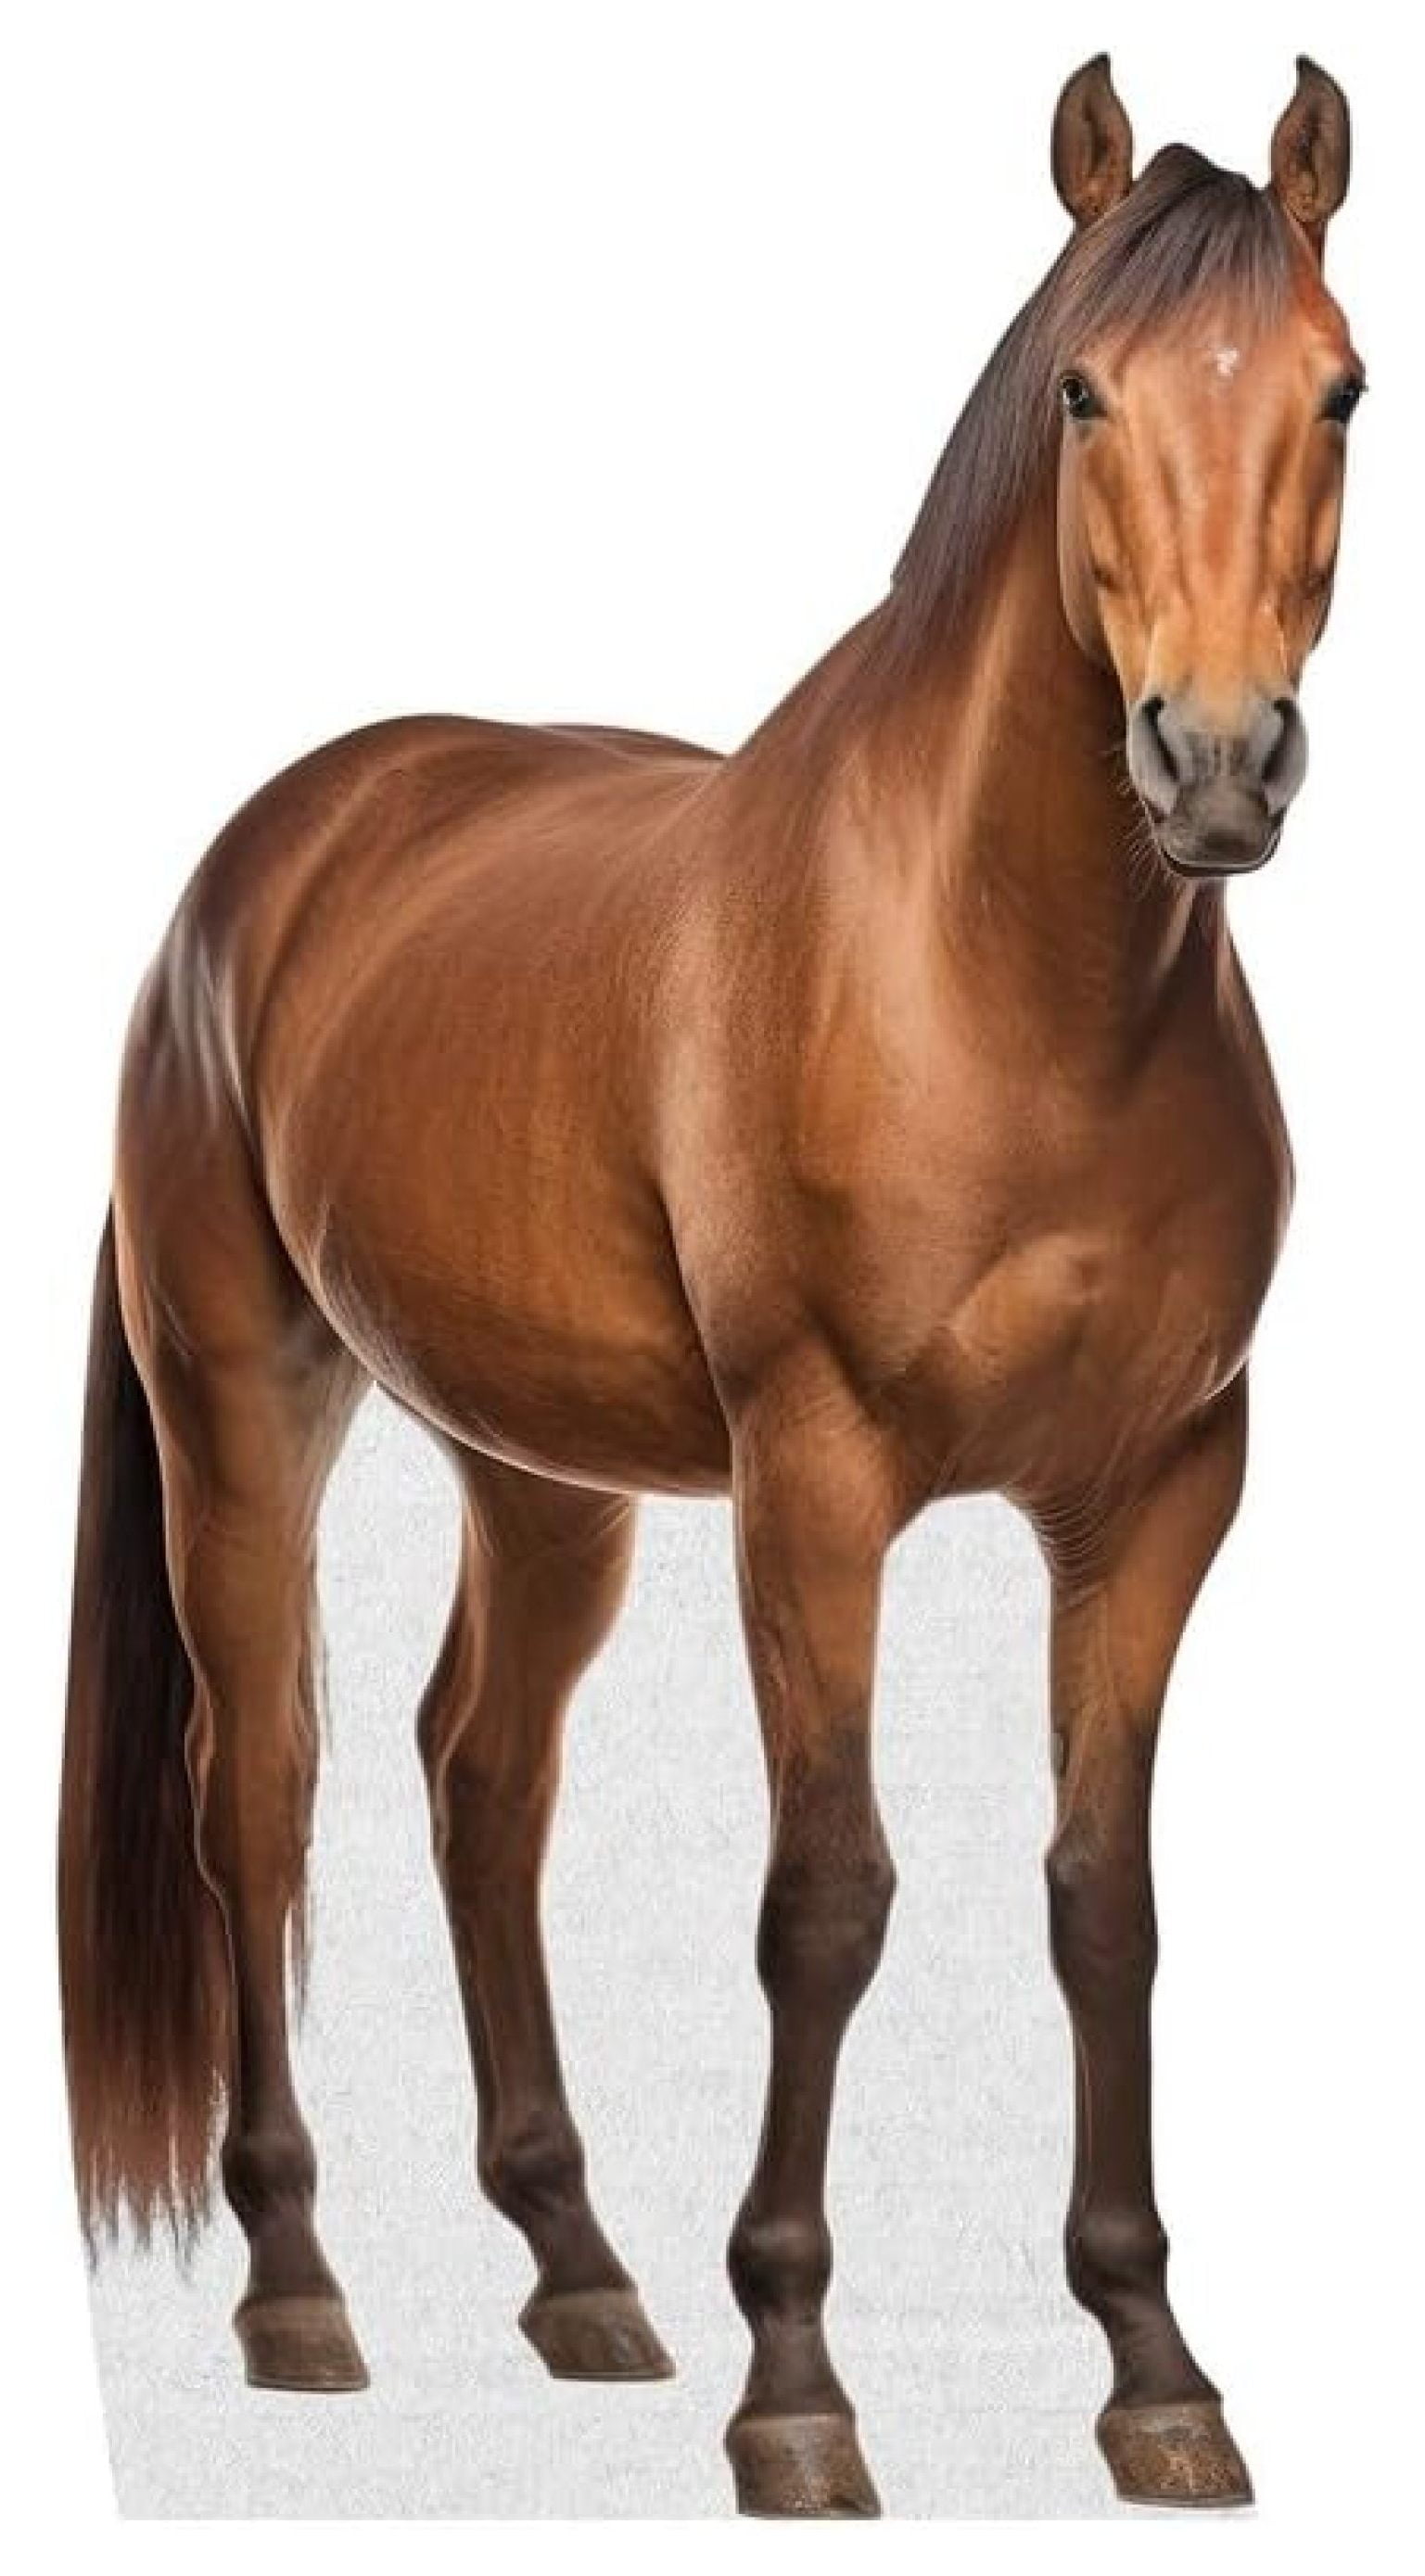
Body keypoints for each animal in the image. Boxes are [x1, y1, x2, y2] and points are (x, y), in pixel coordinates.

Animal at [59, 54, 1360, 2517]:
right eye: (1082, 388)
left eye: (1339, 387)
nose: (1217, 760)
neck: (1003, 981)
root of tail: (272, 854)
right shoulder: (815, 1484)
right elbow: (826, 1900)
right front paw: (797, 2389)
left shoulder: (1159, 1494)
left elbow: (1102, 1900)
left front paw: (1154, 2371)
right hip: (243, 1416)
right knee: (256, 1786)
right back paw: (300, 2288)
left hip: (541, 1474)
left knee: (480, 1777)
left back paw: (577, 2268)